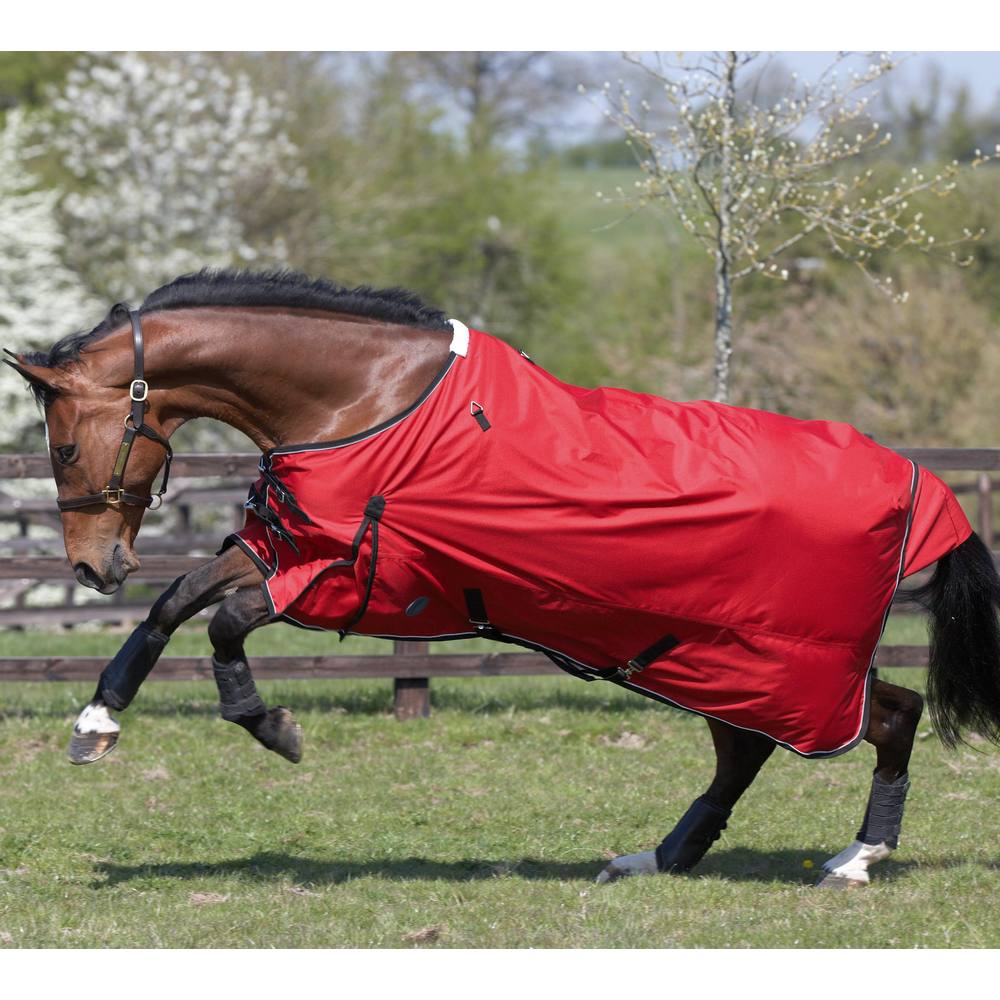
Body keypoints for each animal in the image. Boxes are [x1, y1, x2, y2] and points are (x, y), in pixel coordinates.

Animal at [8, 268, 1000, 890]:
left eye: (62, 447)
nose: (95, 566)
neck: (361, 401)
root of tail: (919, 484)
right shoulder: (286, 549)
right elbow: (175, 605)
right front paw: (95, 726)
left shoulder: (358, 578)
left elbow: (223, 625)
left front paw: (273, 727)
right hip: (713, 662)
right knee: (747, 751)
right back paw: (657, 861)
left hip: (784, 668)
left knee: (891, 717)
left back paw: (856, 860)